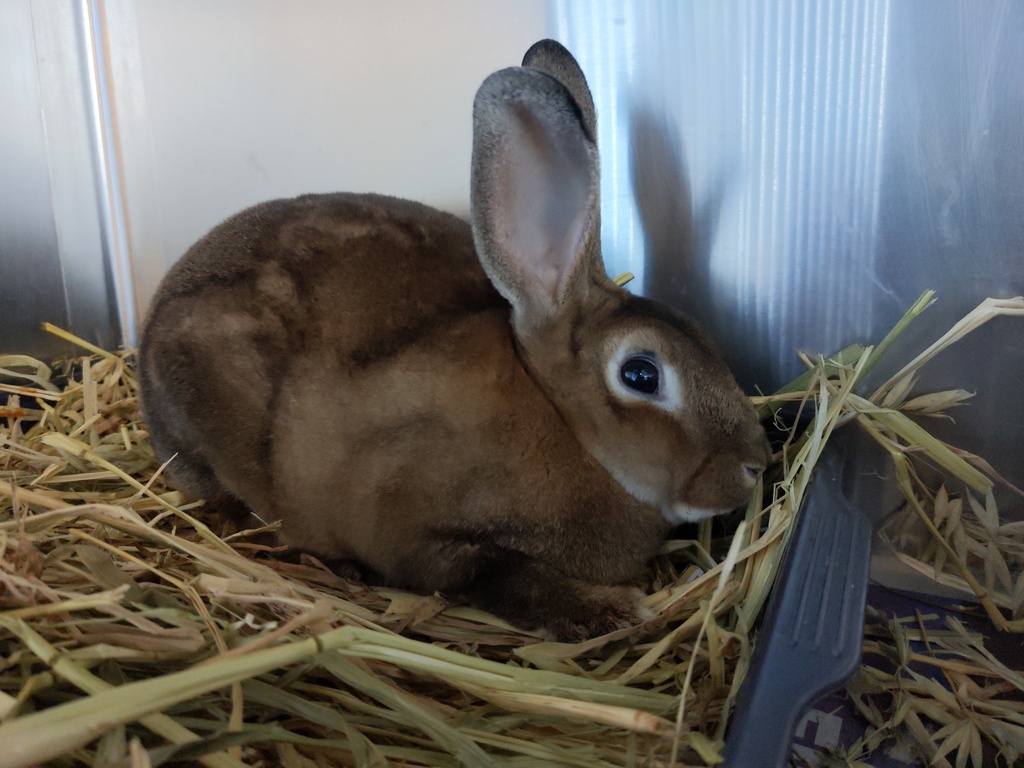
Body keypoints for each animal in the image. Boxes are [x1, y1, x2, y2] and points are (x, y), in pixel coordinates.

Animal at [138, 39, 770, 641]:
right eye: (642, 374)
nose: (756, 464)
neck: (562, 423)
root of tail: (151, 327)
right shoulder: (431, 540)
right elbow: (501, 576)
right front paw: (606, 611)